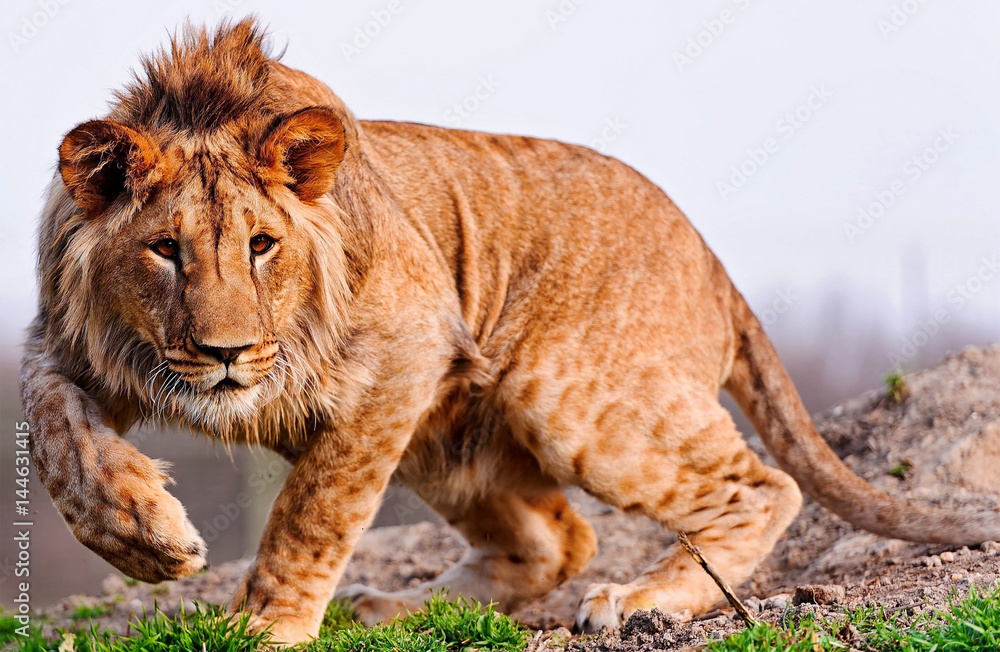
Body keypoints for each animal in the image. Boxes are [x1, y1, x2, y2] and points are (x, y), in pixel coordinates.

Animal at [20, 19, 1000, 646]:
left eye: (261, 246)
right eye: (164, 250)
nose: (224, 355)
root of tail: (711, 258)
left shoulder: (406, 347)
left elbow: (312, 510)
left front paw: (267, 625)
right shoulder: (66, 342)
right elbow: (55, 433)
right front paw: (146, 537)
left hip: (560, 392)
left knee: (760, 487)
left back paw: (639, 602)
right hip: (447, 439)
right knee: (557, 540)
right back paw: (392, 609)